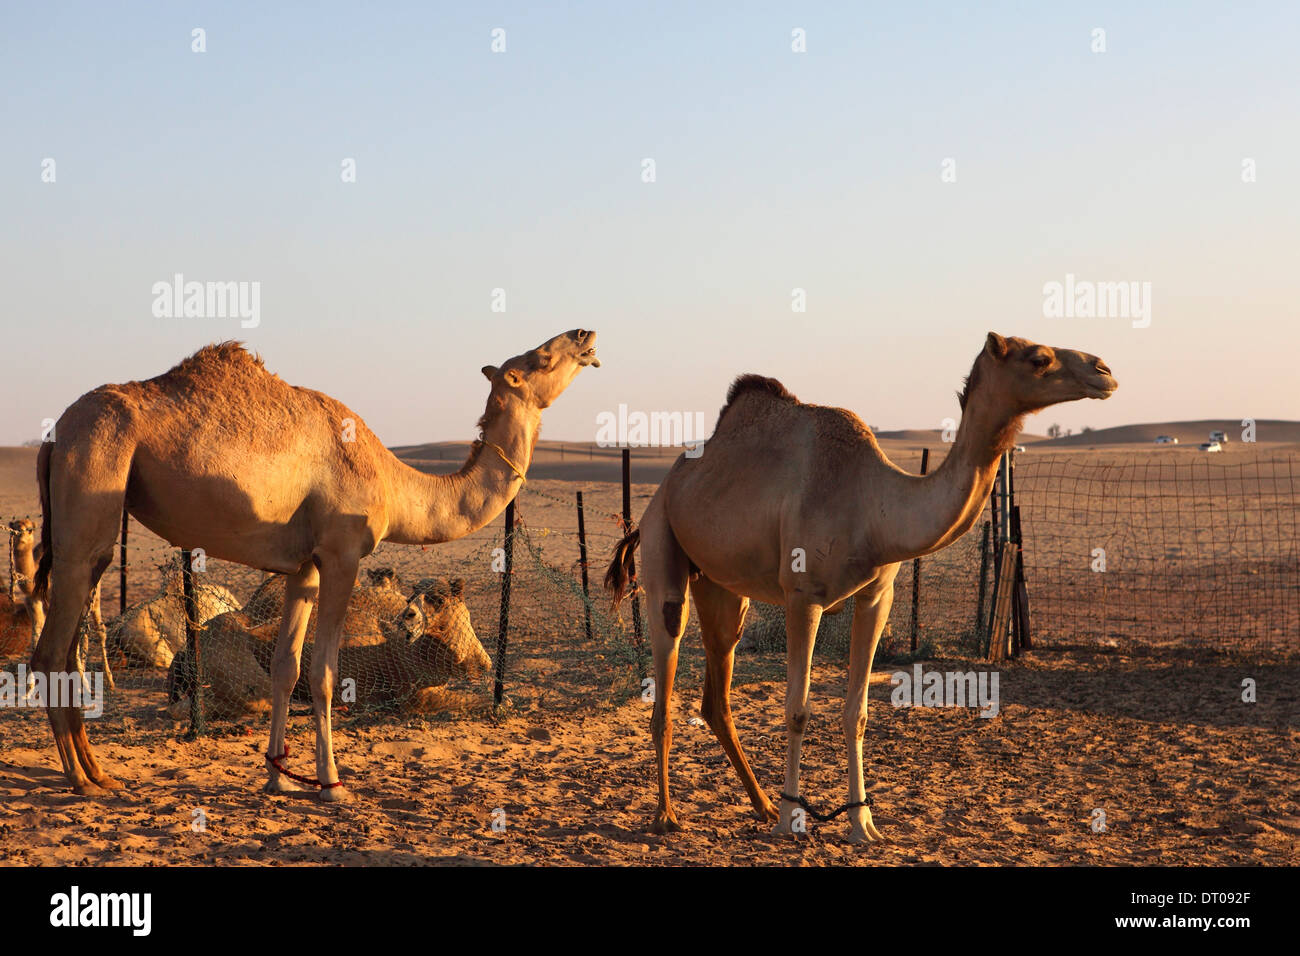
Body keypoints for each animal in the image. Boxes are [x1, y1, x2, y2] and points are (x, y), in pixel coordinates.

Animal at [32, 329, 598, 797]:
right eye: (542, 358)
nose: (586, 334)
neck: (393, 483)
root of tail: (55, 434)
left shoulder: (301, 567)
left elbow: (287, 666)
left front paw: (278, 778)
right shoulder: (341, 554)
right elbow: (324, 671)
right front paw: (331, 784)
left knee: (69, 645)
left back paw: (98, 772)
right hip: (94, 480)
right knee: (51, 650)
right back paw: (81, 781)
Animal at [606, 333, 1116, 842]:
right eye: (1039, 358)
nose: (1105, 371)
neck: (872, 506)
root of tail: (667, 487)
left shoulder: (878, 596)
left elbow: (859, 713)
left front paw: (861, 822)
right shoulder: (802, 596)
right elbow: (797, 709)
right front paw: (794, 818)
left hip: (723, 589)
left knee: (718, 694)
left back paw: (761, 805)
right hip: (663, 544)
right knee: (665, 678)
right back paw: (667, 815)